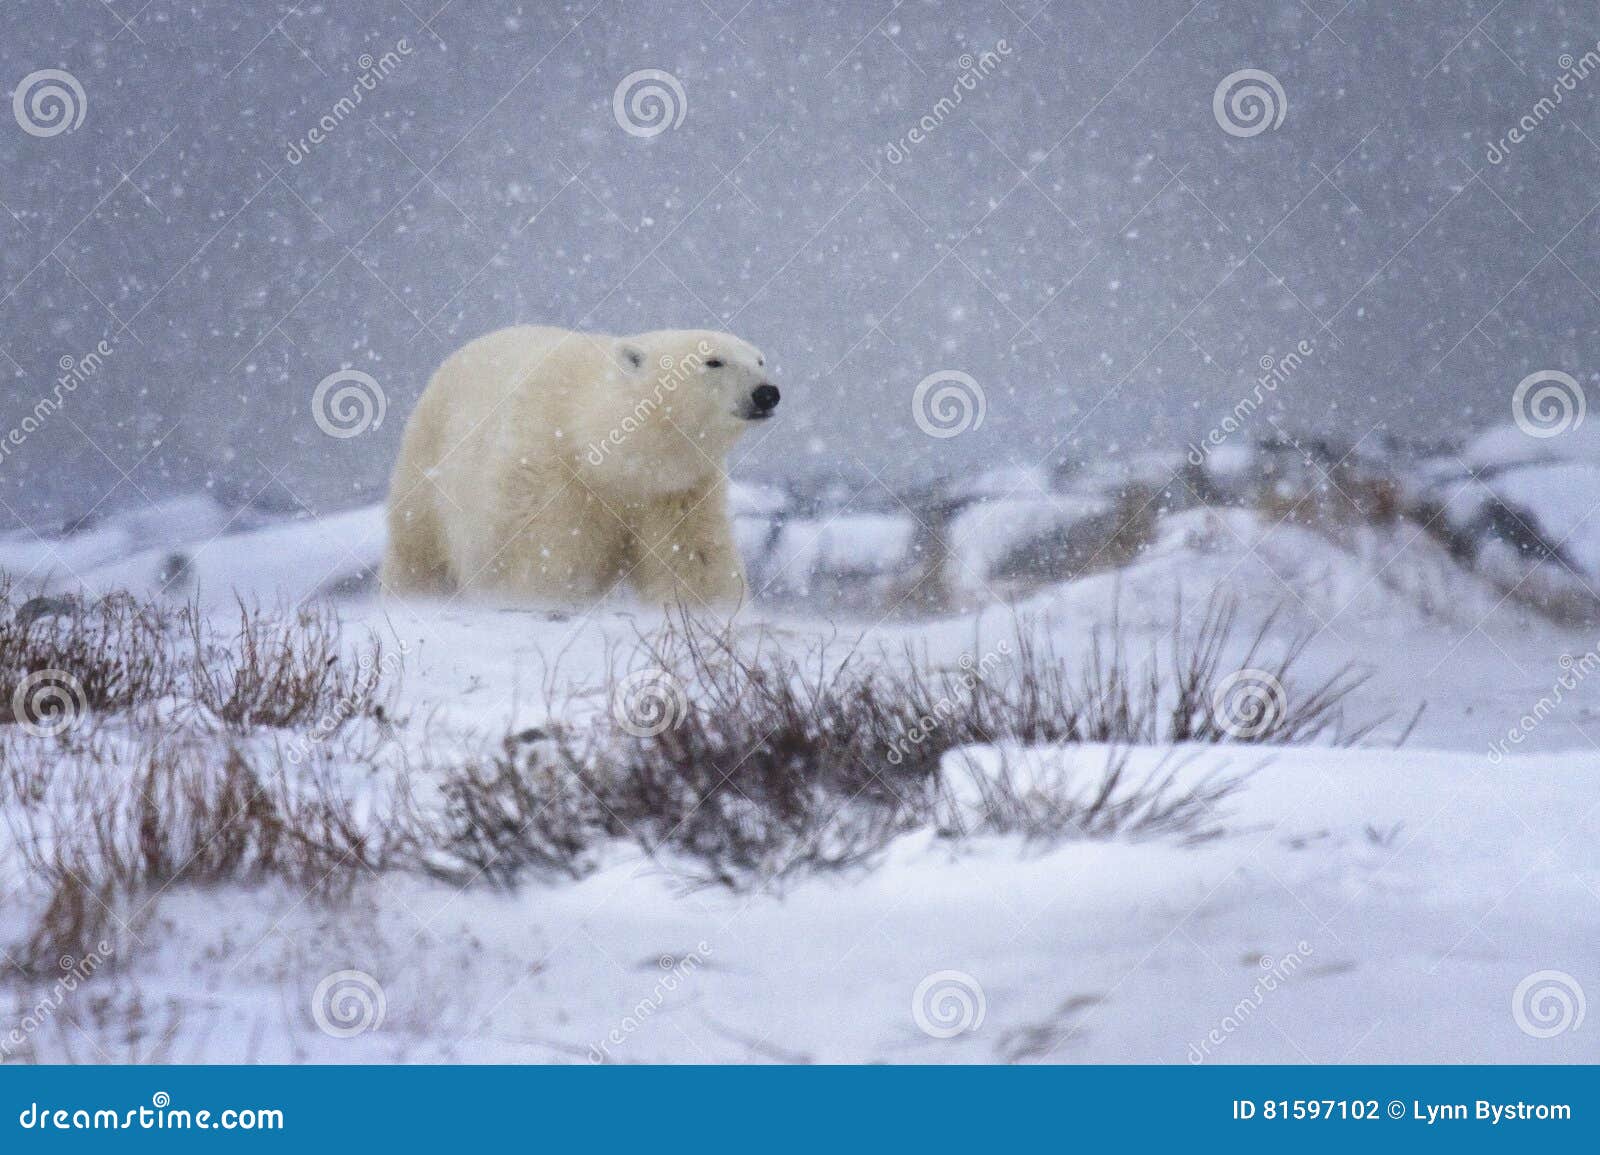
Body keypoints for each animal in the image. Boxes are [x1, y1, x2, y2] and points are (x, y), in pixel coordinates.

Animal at [380, 325, 779, 607]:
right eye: (713, 361)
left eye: (759, 360)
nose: (767, 392)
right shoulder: (548, 476)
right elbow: (540, 563)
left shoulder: (676, 491)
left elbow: (696, 560)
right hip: (426, 463)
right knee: (417, 553)